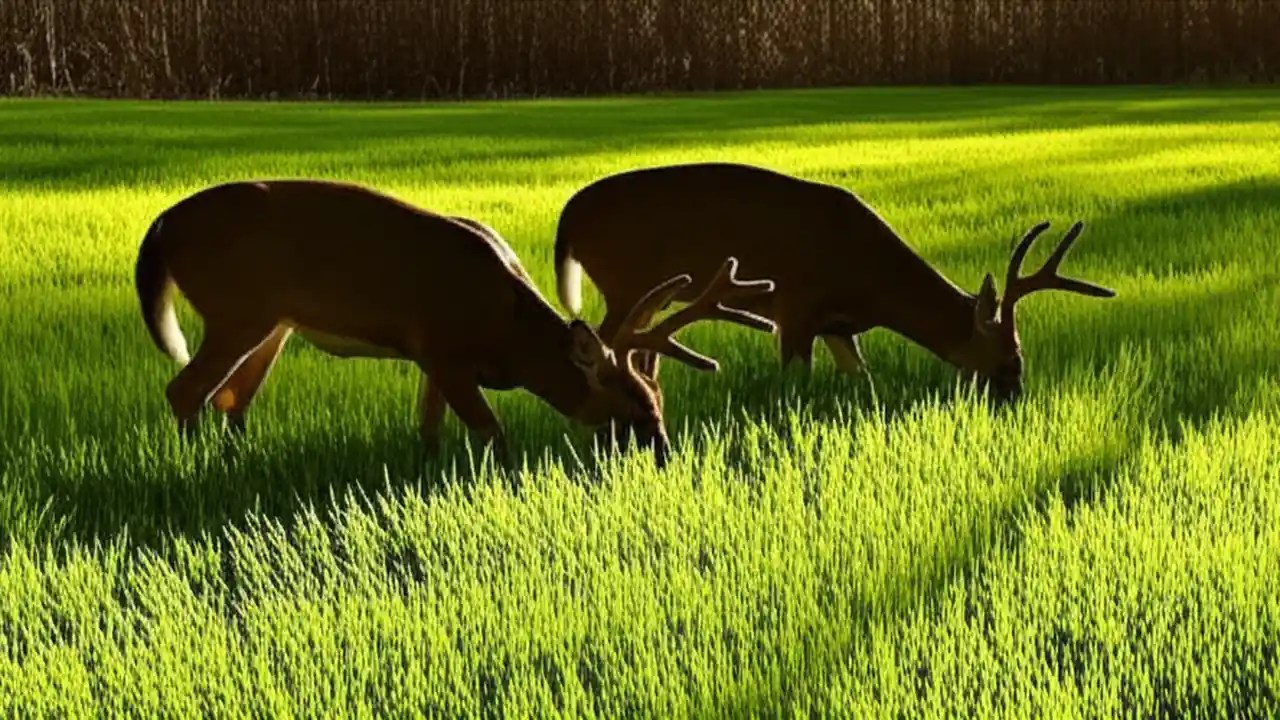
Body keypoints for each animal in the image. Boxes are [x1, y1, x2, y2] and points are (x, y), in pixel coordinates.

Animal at [134, 179, 776, 466]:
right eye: (633, 410)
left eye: (658, 403)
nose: (666, 454)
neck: (509, 334)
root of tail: (162, 224)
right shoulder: (443, 348)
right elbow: (492, 430)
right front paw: (505, 477)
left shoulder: (432, 359)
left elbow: (429, 429)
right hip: (237, 307)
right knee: (185, 389)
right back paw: (190, 465)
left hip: (273, 321)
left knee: (230, 397)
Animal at [554, 162, 1116, 404]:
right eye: (1008, 363)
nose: (1016, 400)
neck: (872, 281)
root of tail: (568, 216)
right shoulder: (796, 305)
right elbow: (792, 383)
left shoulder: (838, 325)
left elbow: (861, 377)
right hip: (625, 281)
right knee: (602, 340)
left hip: (645, 293)